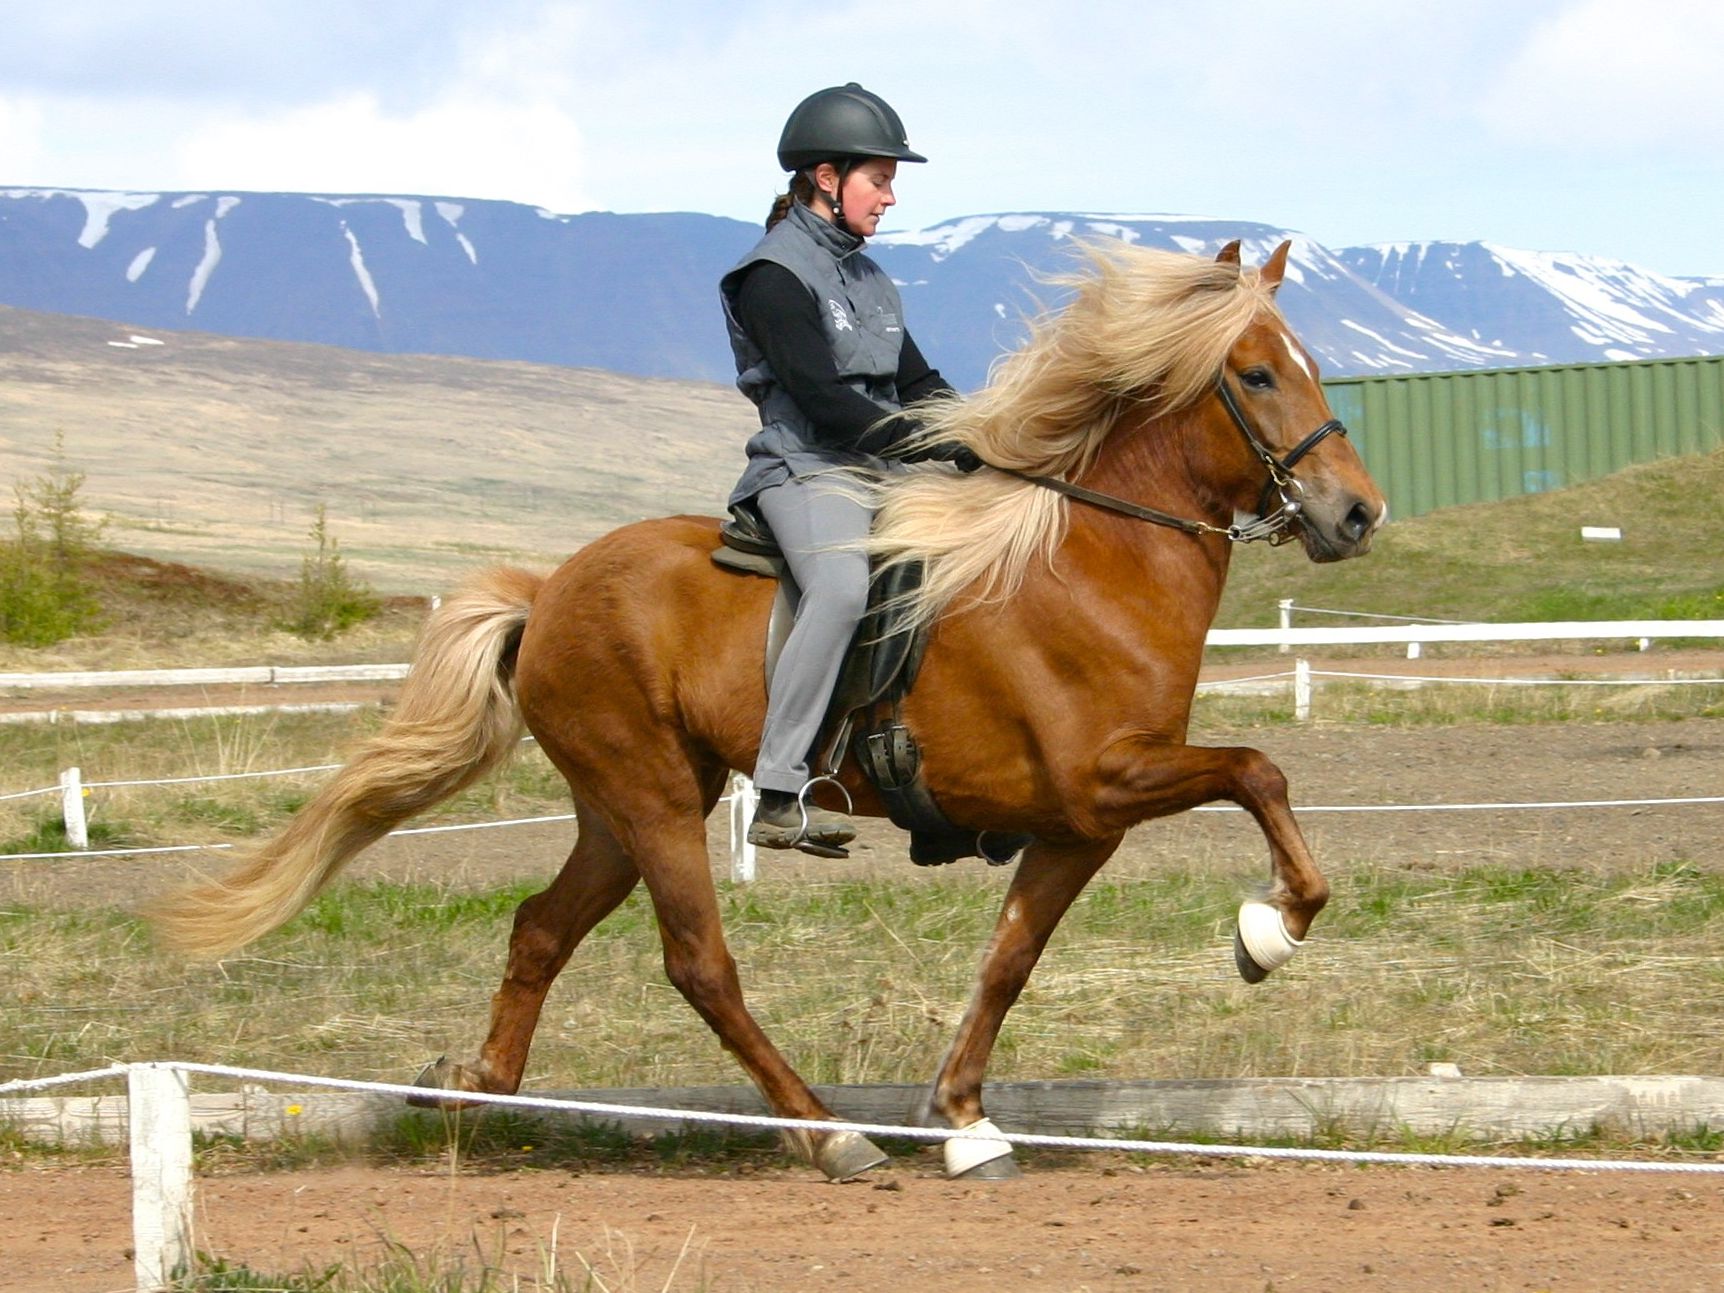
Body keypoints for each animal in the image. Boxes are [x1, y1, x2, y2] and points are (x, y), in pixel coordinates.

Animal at [146, 238, 1387, 1182]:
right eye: (1256, 375)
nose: (1355, 515)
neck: (1087, 563)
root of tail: (549, 590)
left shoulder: (1079, 825)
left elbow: (1007, 961)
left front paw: (964, 1121)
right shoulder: (1102, 778)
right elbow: (1258, 768)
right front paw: (1267, 933)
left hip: (624, 804)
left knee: (541, 929)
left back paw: (471, 1093)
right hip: (649, 794)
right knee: (699, 963)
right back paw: (826, 1134)